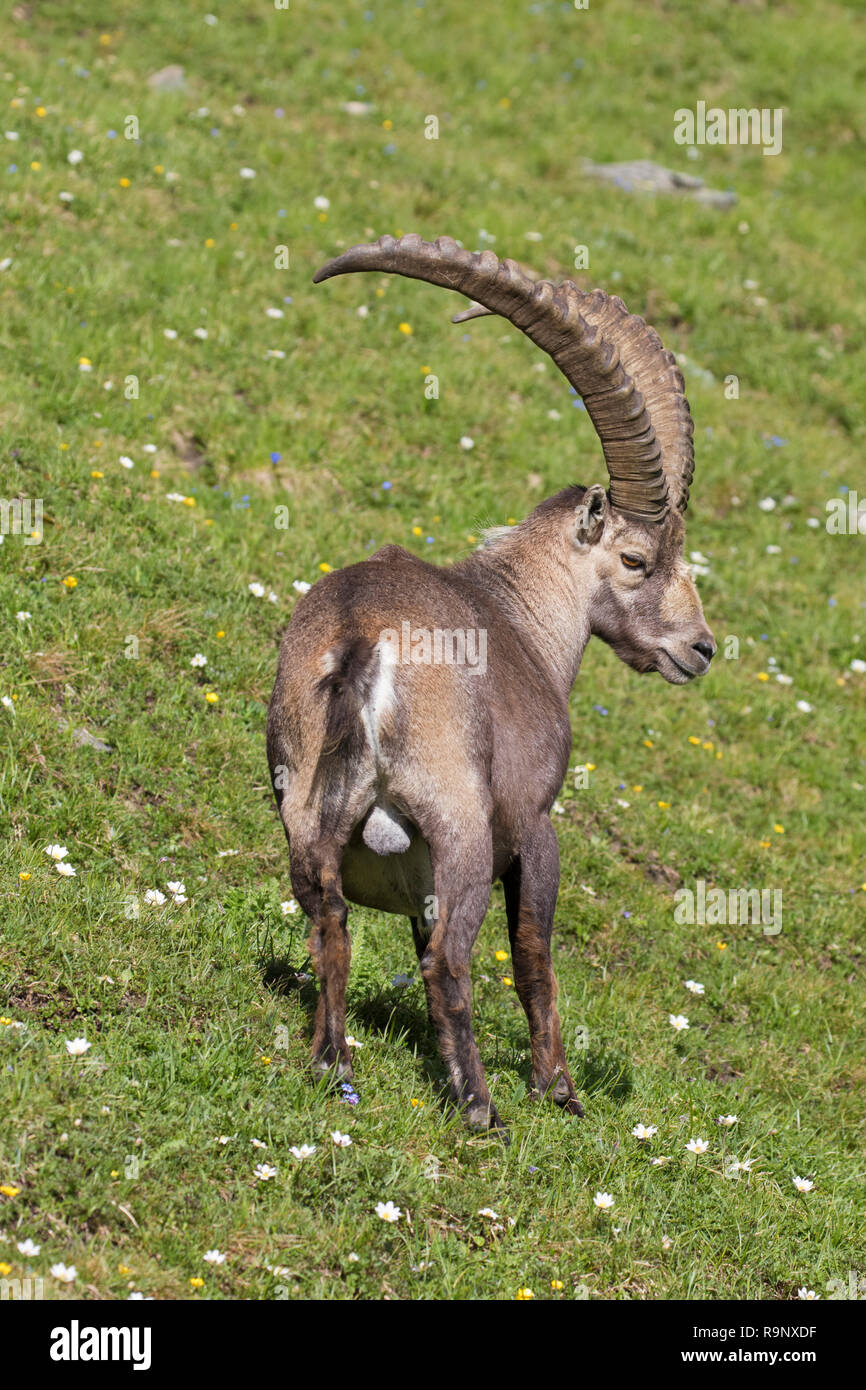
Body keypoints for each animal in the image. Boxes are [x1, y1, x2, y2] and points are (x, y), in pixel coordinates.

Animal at [267, 234, 716, 1137]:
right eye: (638, 559)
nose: (700, 648)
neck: (520, 615)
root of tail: (364, 640)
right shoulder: (535, 828)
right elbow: (535, 956)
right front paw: (560, 1090)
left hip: (302, 803)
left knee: (327, 915)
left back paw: (333, 1062)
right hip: (463, 826)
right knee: (451, 960)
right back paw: (481, 1109)